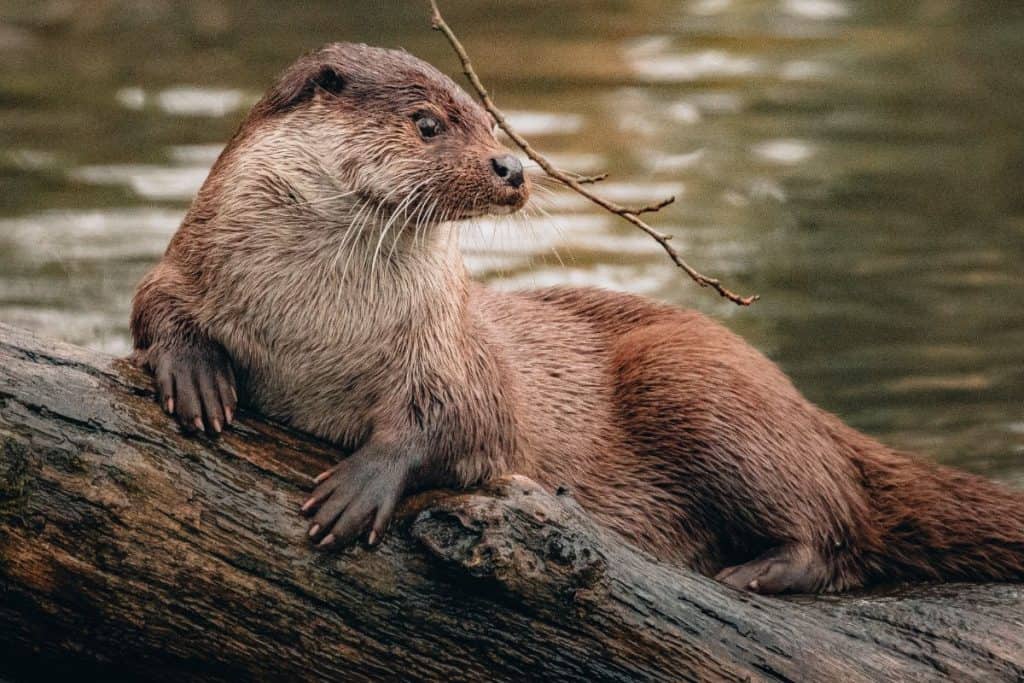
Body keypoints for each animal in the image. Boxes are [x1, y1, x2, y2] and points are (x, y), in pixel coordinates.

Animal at [131, 42, 1024, 594]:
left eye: (488, 118)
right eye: (429, 123)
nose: (511, 166)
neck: (316, 328)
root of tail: (811, 411)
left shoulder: (456, 349)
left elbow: (466, 421)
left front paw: (363, 481)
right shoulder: (189, 261)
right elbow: (152, 303)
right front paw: (195, 372)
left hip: (697, 381)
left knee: (842, 527)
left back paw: (762, 570)